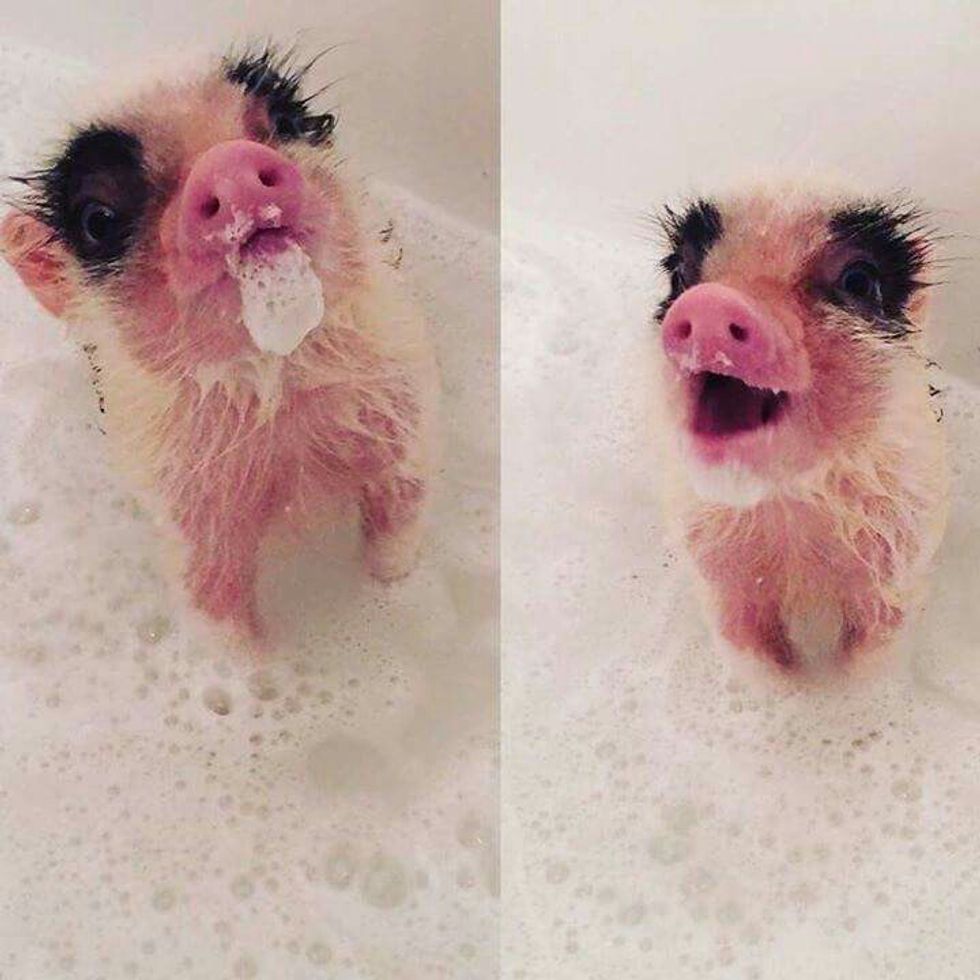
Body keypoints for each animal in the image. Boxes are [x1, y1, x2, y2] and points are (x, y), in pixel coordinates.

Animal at [0, 45, 437, 641]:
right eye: (98, 218)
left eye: (286, 121)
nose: (228, 164)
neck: (277, 386)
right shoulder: (180, 503)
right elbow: (218, 614)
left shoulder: (401, 392)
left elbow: (401, 516)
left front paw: (388, 584)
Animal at [655, 187, 947, 670]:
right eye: (678, 274)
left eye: (860, 281)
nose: (712, 301)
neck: (792, 512)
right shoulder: (715, 572)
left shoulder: (901, 559)